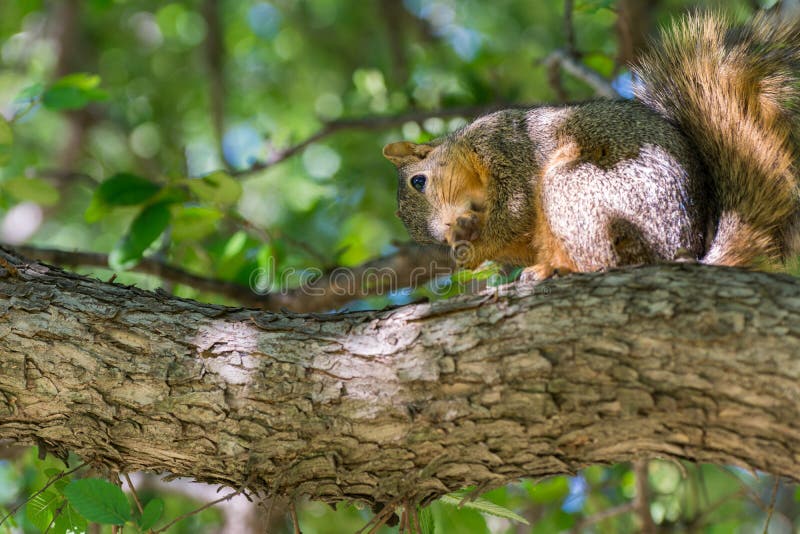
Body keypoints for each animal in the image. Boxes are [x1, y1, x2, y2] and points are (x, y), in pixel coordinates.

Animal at [383, 13, 800, 280]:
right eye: (427, 237)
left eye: (418, 181)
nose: (447, 231)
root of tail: (681, 252)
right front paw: (465, 239)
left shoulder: (505, 146)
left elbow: (515, 212)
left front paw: (469, 251)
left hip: (577, 188)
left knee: (602, 259)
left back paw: (560, 268)